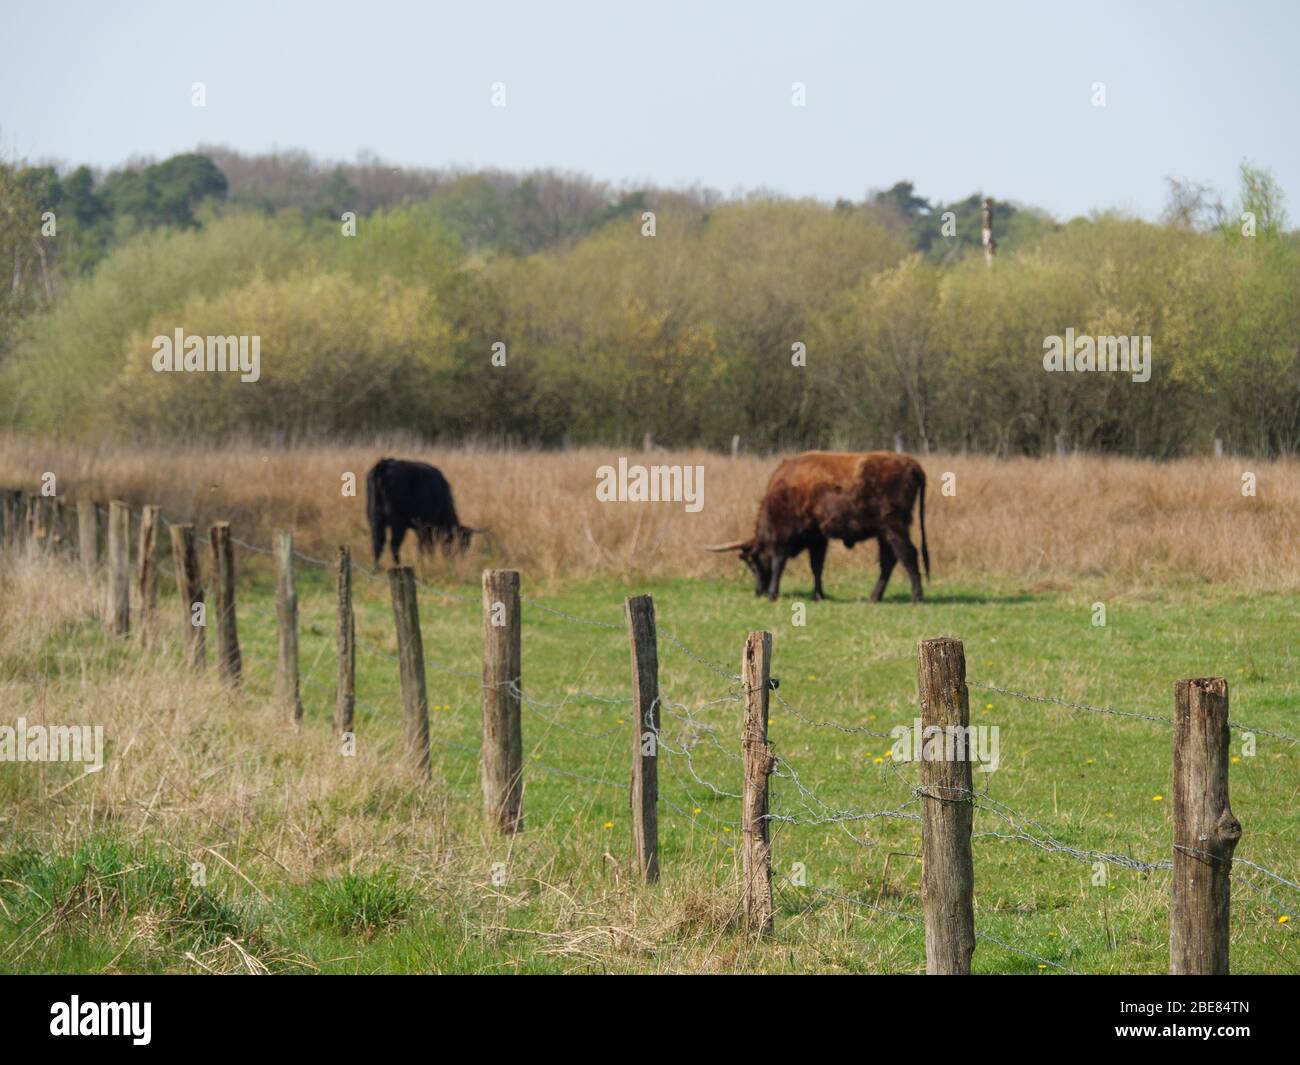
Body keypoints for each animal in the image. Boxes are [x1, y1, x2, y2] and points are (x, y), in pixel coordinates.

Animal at [706, 451, 929, 603]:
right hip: (884, 532)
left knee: (908, 555)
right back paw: (874, 597)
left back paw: (916, 597)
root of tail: (912, 464)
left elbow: (779, 563)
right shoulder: (817, 538)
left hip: (894, 527)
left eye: (753, 563)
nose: (757, 591)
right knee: (888, 561)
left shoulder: (783, 535)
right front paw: (819, 594)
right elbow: (817, 567)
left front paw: (773, 593)